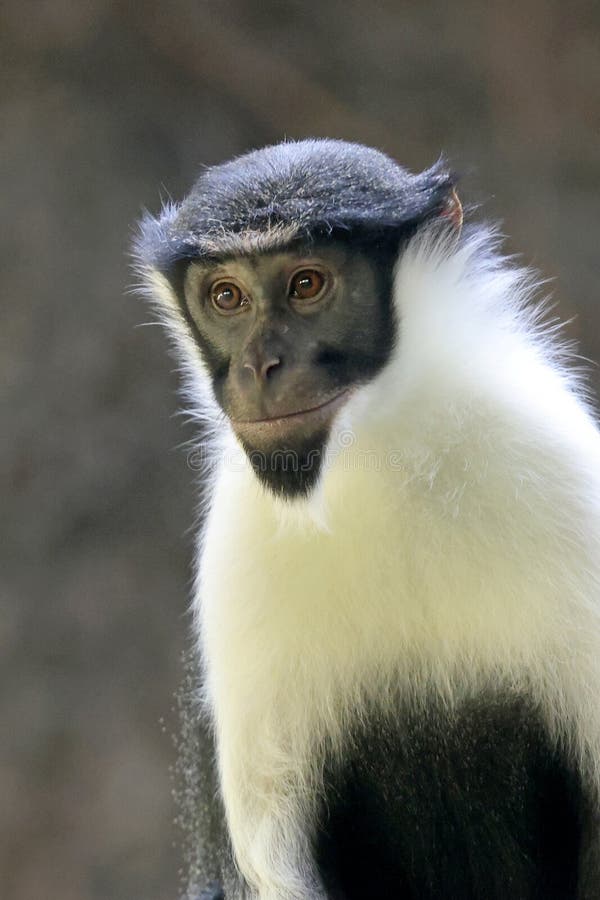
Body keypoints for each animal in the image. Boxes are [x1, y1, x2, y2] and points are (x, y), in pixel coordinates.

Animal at [134, 139, 600, 899]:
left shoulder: (562, 473)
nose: (260, 367)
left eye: (306, 284)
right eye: (226, 297)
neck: (381, 465)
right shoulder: (238, 546)